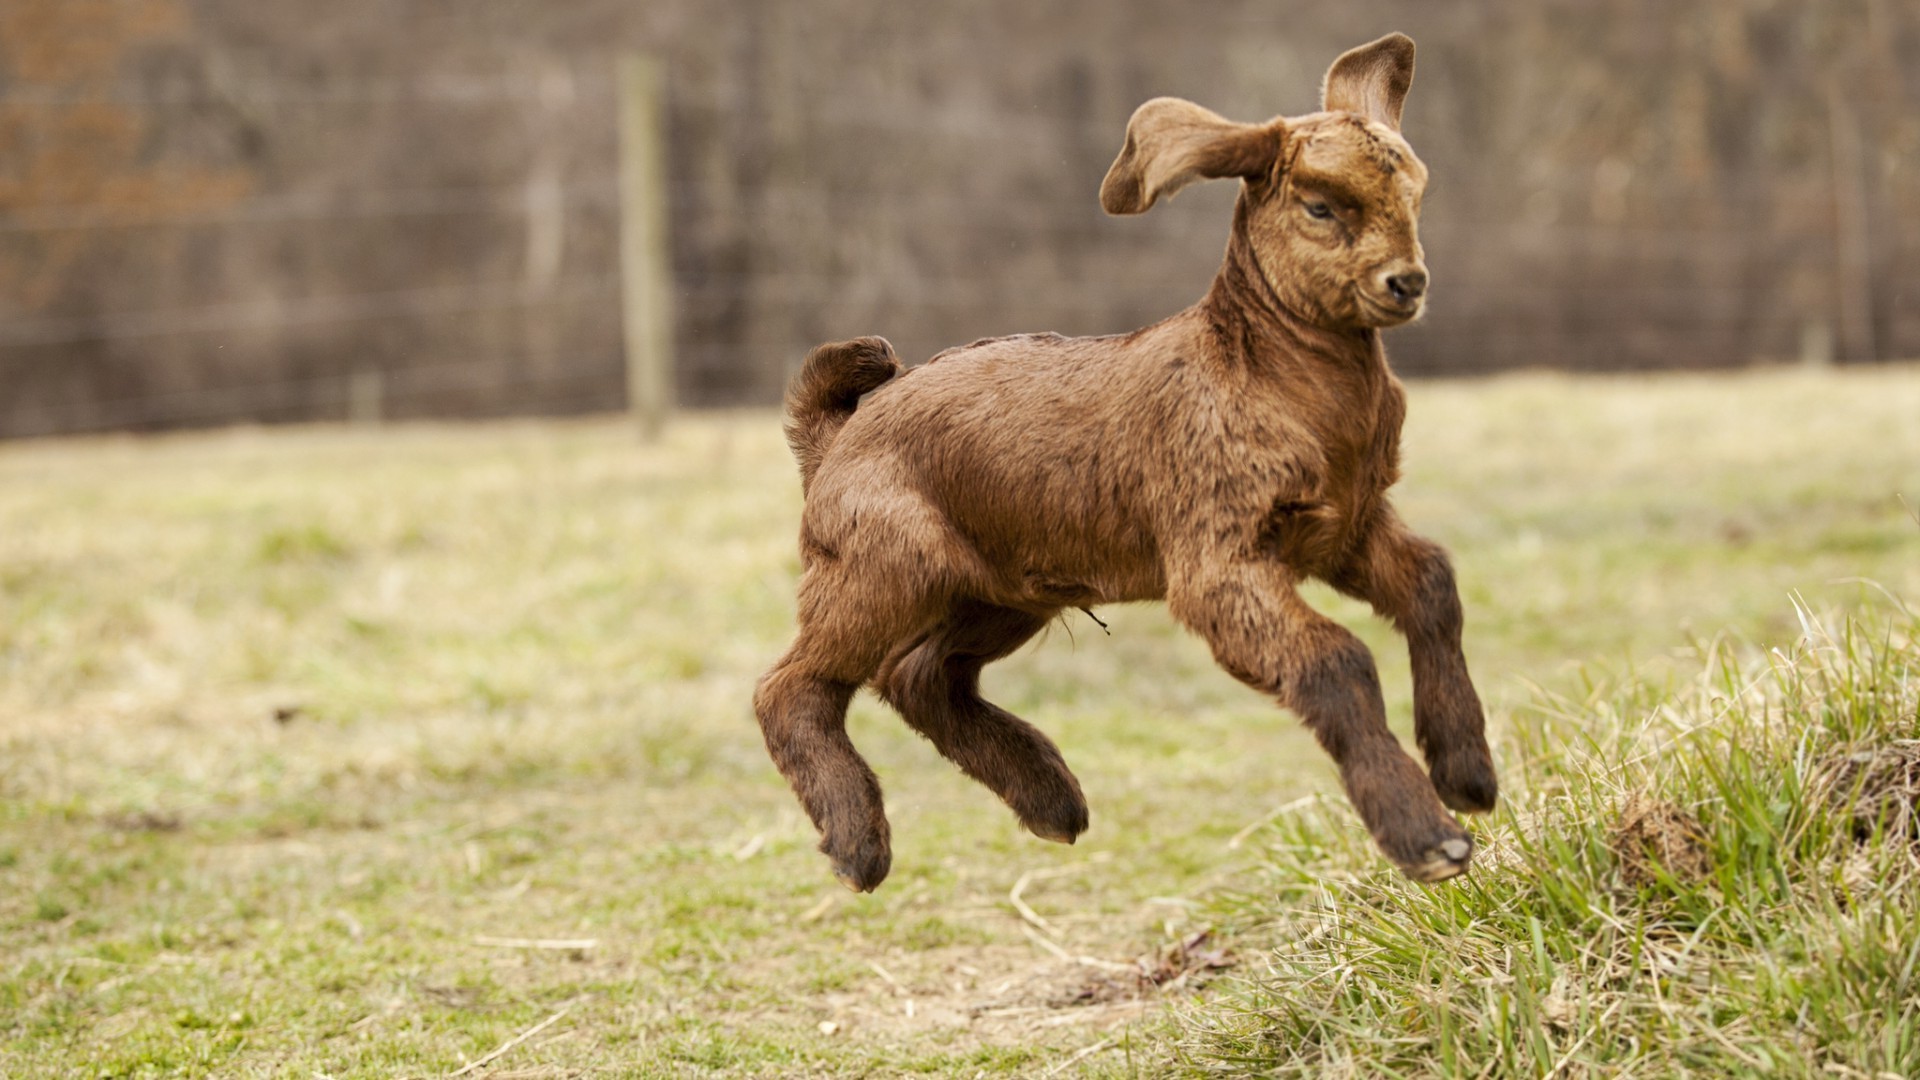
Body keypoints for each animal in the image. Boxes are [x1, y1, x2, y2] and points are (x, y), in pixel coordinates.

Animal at [754, 33, 1497, 893]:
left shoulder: (1345, 526)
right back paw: (859, 845)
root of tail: (832, 438)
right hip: (882, 566)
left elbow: (1432, 583)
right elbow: (1334, 660)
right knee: (792, 686)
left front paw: (1470, 776)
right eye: (1319, 206)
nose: (1406, 282)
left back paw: (1050, 800)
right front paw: (1430, 839)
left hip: (1000, 585)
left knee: (920, 676)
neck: (1266, 371)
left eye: (1415, 196)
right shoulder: (1218, 555)